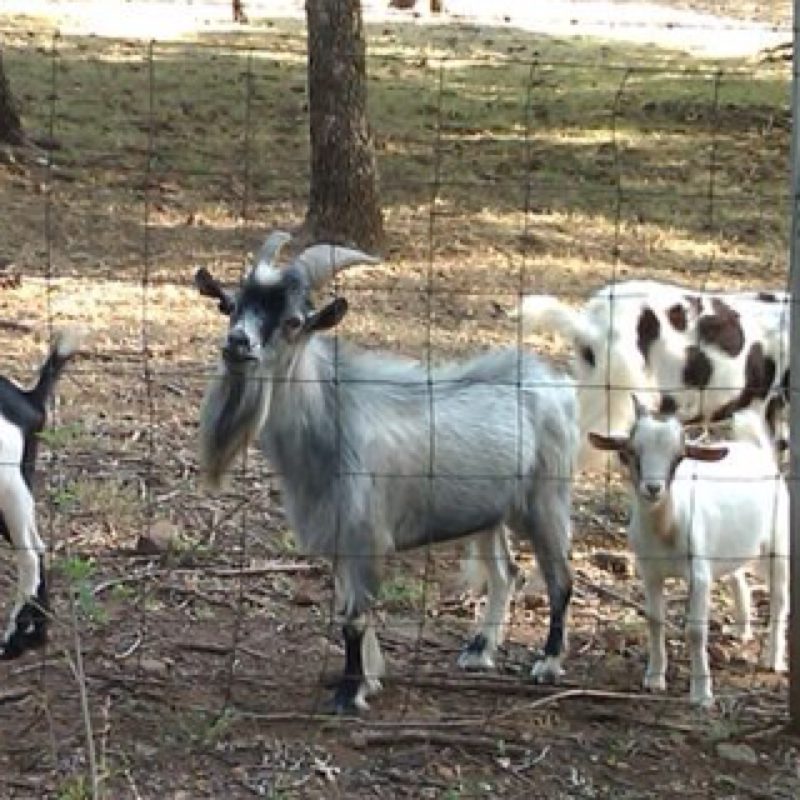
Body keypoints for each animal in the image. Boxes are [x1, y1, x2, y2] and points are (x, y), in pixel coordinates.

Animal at [196, 231, 577, 713]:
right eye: (230, 305)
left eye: (293, 321)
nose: (238, 344)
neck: (330, 418)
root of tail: (557, 384)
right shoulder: (339, 539)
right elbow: (346, 608)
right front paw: (369, 679)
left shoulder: (365, 534)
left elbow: (354, 619)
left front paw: (348, 693)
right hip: (490, 513)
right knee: (507, 573)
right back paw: (478, 651)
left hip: (546, 499)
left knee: (559, 580)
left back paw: (548, 664)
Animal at [589, 398, 788, 707]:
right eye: (630, 452)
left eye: (679, 456)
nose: (653, 488)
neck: (665, 529)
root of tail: (757, 451)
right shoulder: (649, 570)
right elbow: (654, 620)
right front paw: (654, 677)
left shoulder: (699, 574)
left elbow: (696, 631)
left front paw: (702, 693)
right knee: (738, 578)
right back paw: (742, 630)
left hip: (778, 545)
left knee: (779, 598)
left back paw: (773, 659)